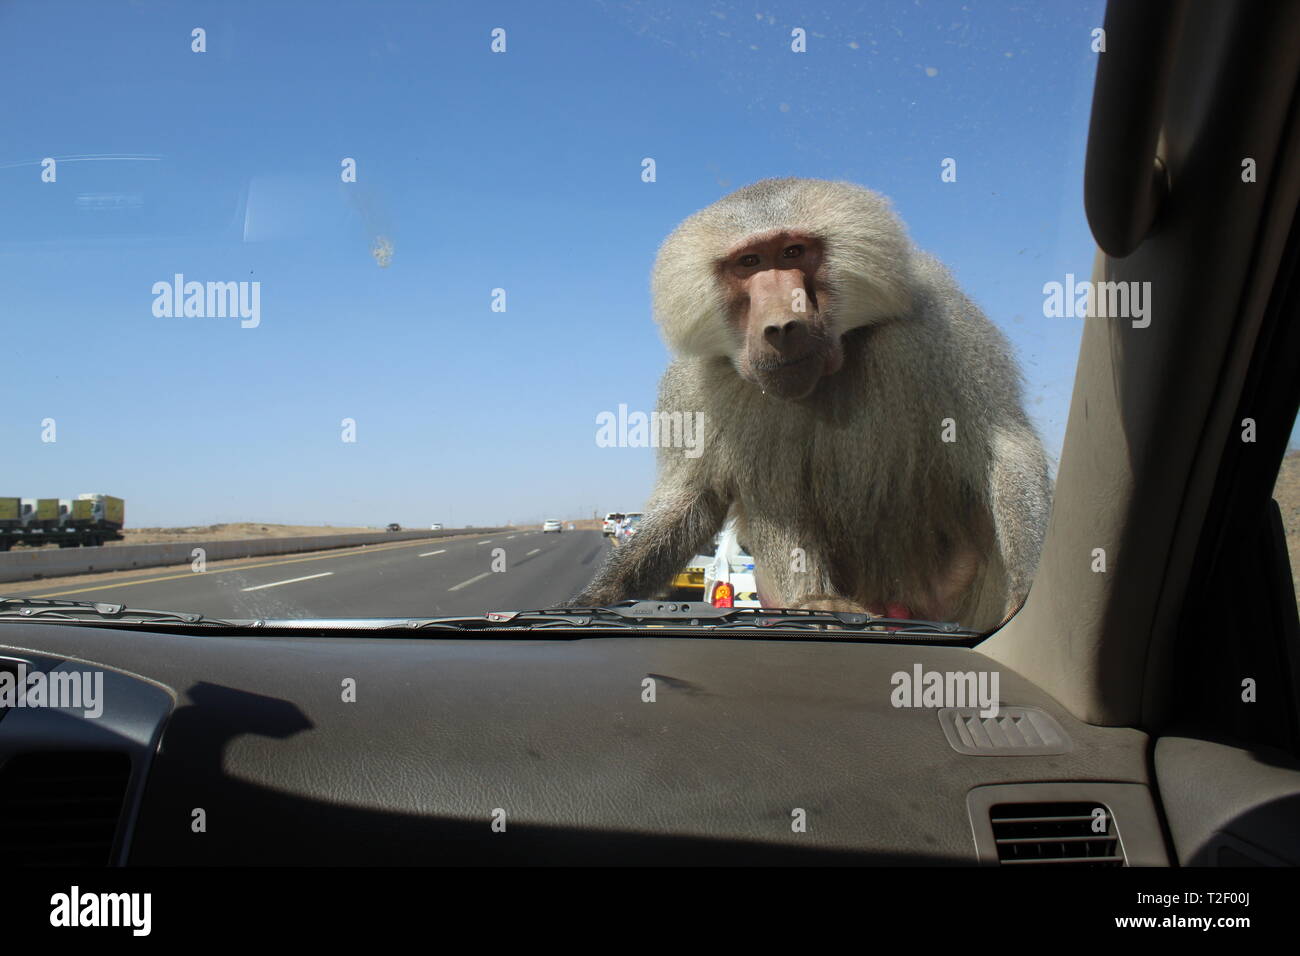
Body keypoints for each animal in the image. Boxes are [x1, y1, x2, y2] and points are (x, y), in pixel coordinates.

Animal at [572, 178, 1052, 631]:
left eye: (792, 252)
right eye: (749, 263)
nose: (782, 326)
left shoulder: (938, 321)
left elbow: (1002, 447)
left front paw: (1025, 593)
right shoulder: (694, 384)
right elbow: (696, 496)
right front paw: (594, 599)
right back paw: (817, 604)